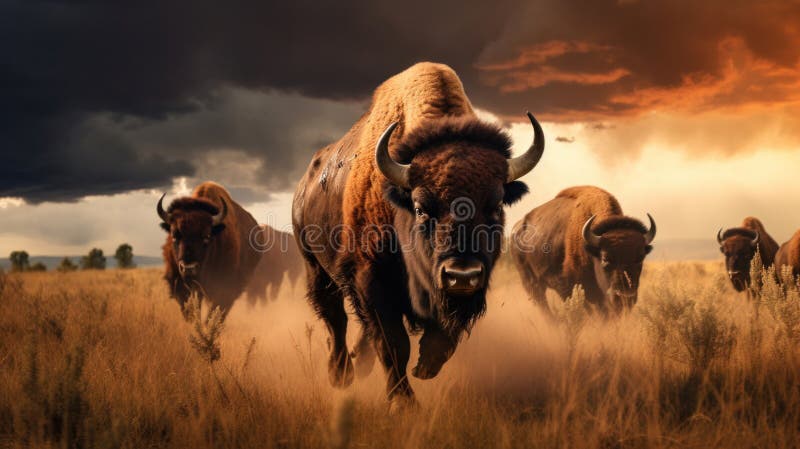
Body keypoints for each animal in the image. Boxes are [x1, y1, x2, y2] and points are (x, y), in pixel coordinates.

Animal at [292, 62, 544, 406]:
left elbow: (444, 335)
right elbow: (393, 343)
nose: (461, 275)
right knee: (335, 318)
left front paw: (425, 367)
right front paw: (403, 403)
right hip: (315, 267)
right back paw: (341, 375)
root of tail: (306, 183)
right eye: (421, 208)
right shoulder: (370, 276)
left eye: (495, 206)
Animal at [511, 186, 656, 314]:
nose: (625, 297)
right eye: (605, 258)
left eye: (640, 257)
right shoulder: (575, 288)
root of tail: (516, 230)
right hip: (532, 284)